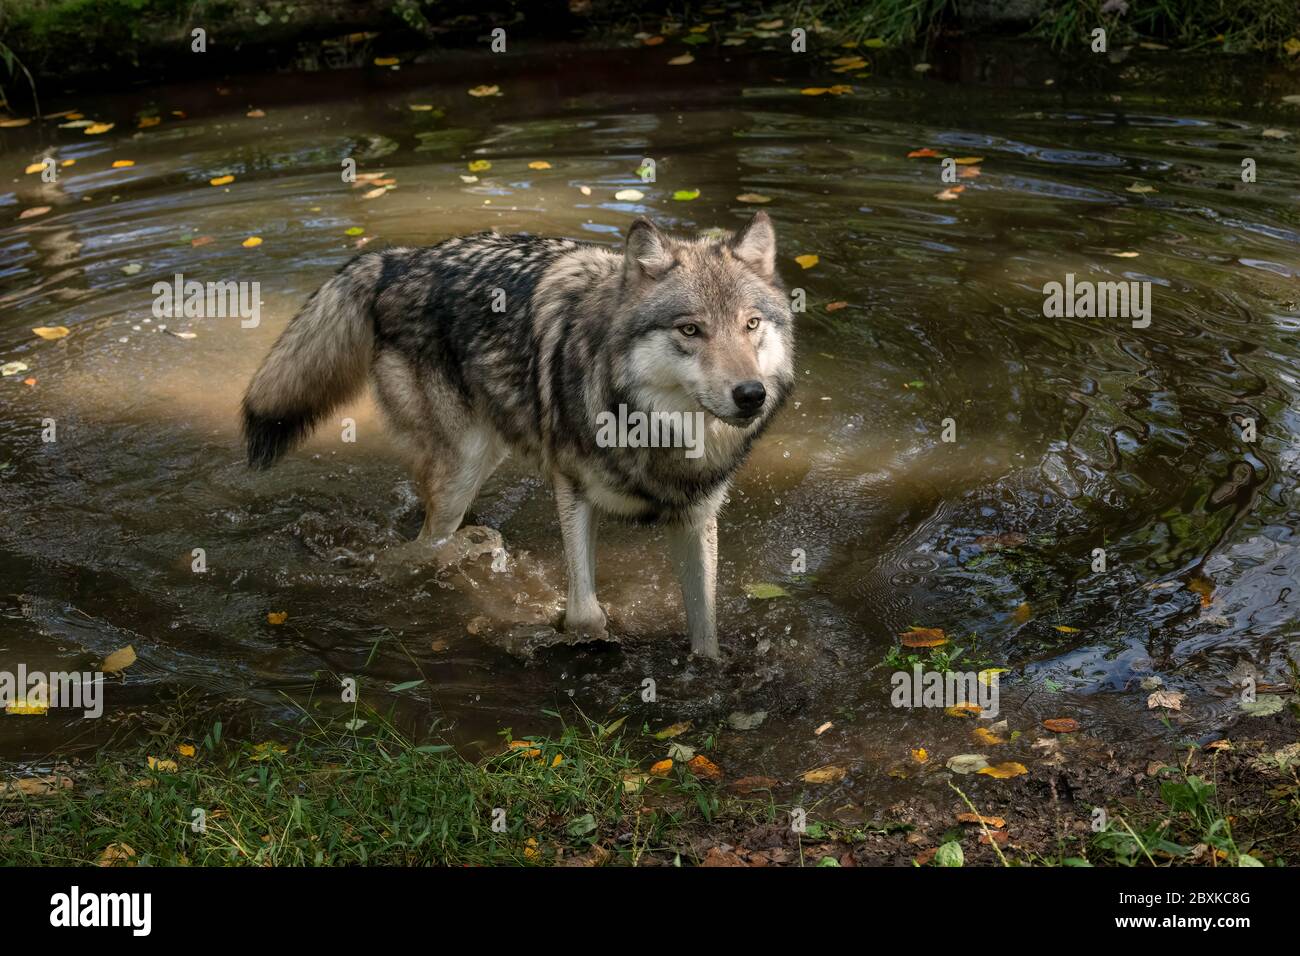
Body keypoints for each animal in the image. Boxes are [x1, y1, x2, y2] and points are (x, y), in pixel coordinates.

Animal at [241, 212, 794, 657]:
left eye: (750, 324)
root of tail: (396, 259)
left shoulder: (695, 516)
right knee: (419, 547)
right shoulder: (572, 490)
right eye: (690, 330)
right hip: (464, 465)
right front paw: (582, 641)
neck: (657, 433)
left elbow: (706, 630)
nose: (751, 394)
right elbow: (585, 613)